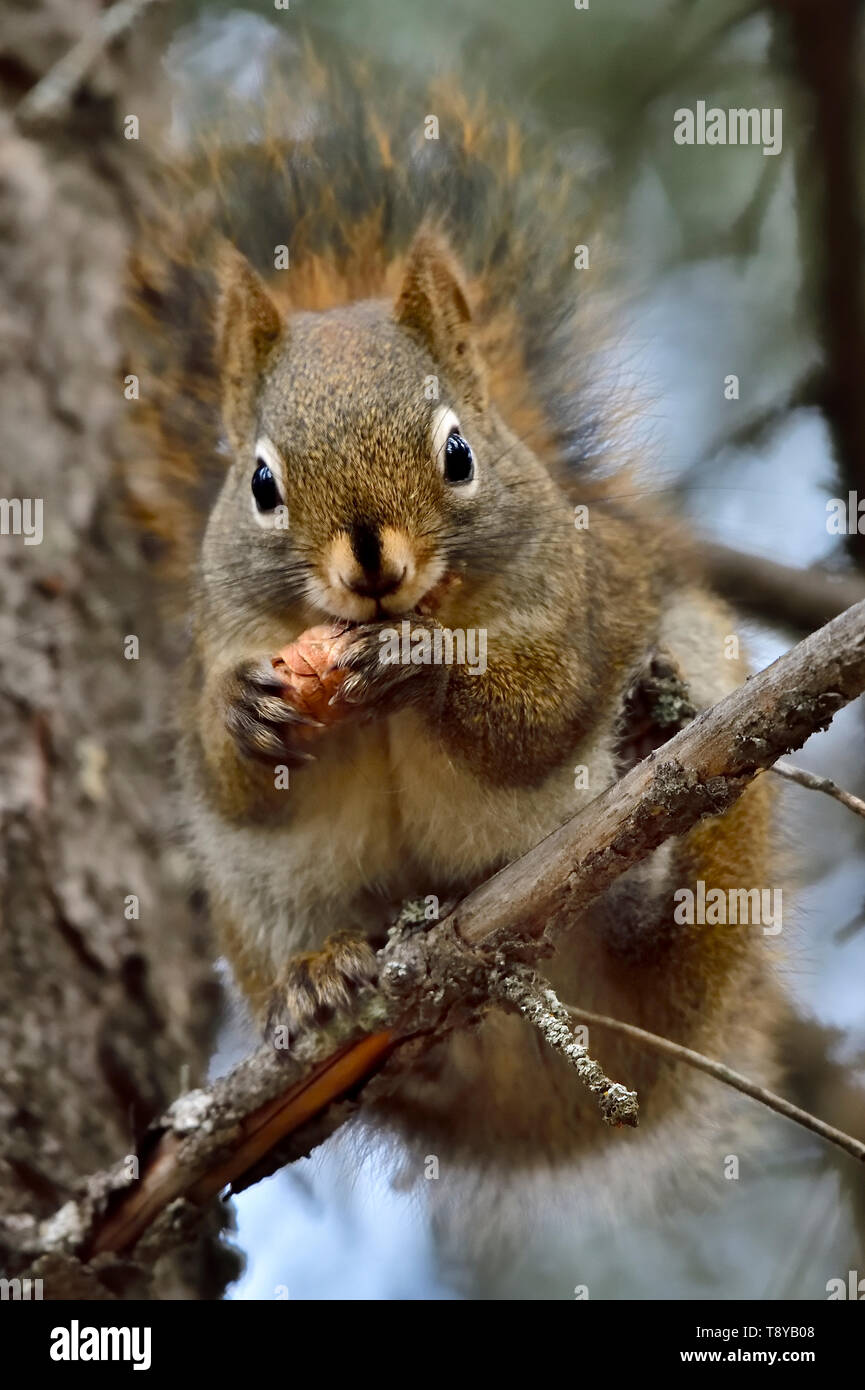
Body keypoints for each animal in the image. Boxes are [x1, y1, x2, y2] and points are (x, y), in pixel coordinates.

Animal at [125, 52, 781, 1251]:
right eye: (259, 483)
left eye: (459, 453)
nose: (372, 564)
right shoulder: (211, 647)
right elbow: (234, 777)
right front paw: (251, 713)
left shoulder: (576, 605)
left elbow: (538, 714)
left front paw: (428, 665)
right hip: (252, 896)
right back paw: (323, 979)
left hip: (709, 853)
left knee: (657, 922)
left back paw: (646, 836)